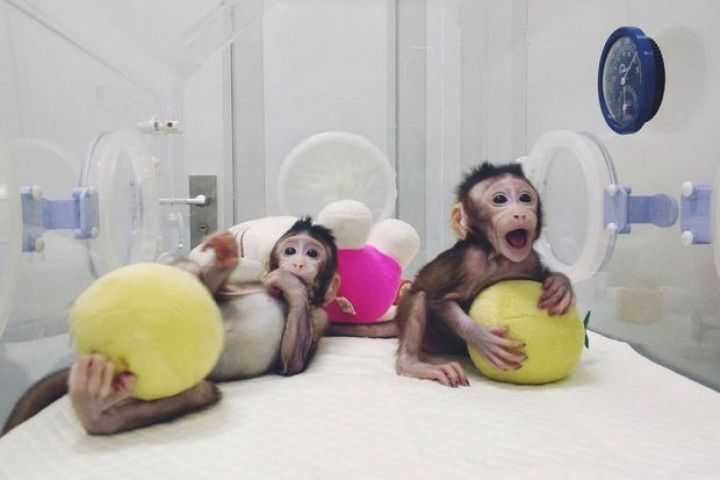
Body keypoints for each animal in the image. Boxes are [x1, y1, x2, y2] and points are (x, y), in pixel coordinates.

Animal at [2, 217, 340, 436]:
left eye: (312, 252)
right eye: (290, 250)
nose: (297, 263)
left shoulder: (320, 318)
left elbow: (290, 364)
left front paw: (290, 284)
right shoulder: (253, 275)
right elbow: (216, 287)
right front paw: (225, 257)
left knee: (201, 392)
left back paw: (95, 408)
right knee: (189, 271)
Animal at [395, 162, 575, 388]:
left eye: (525, 198)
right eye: (500, 200)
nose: (520, 214)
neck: (498, 258)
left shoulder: (528, 260)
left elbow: (540, 275)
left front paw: (561, 285)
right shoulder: (470, 262)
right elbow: (441, 301)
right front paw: (482, 338)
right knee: (419, 297)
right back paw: (411, 364)